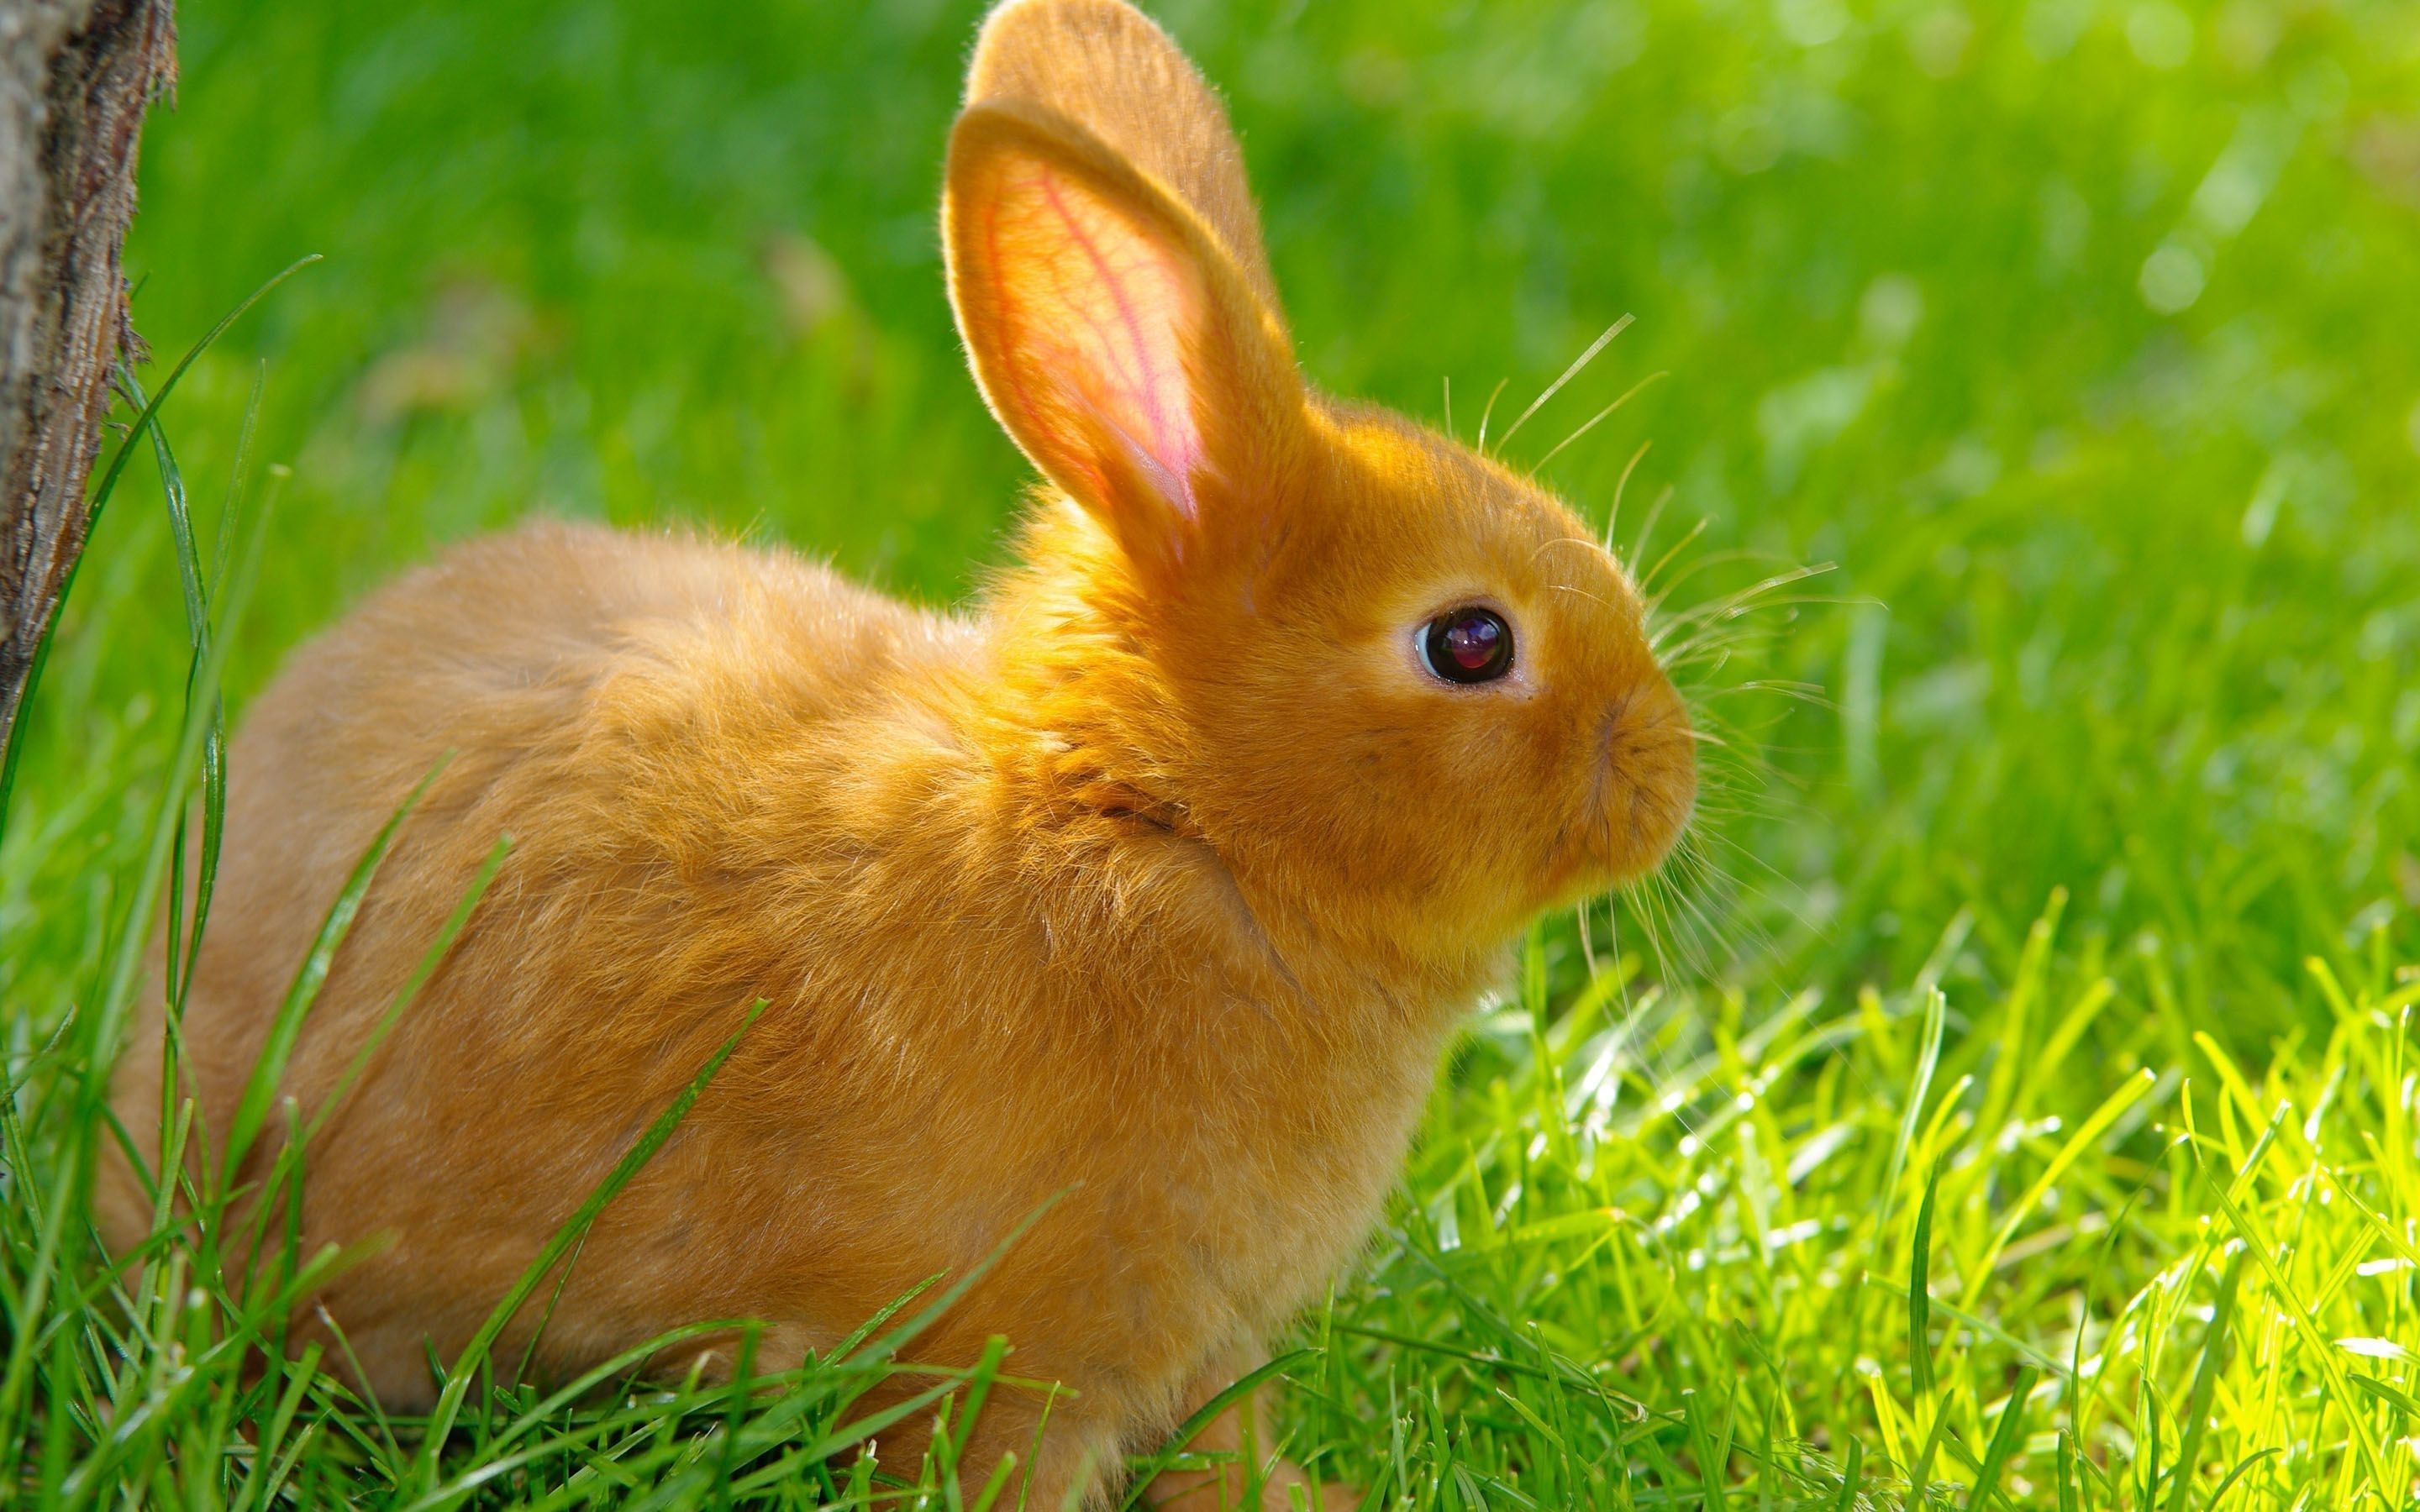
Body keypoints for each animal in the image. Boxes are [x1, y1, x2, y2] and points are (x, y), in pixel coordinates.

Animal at [98, 0, 1698, 1506]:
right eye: (1471, 643)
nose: (1669, 776)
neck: (1170, 822)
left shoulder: (1198, 1351)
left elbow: (1222, 1448)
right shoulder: (1003, 1367)